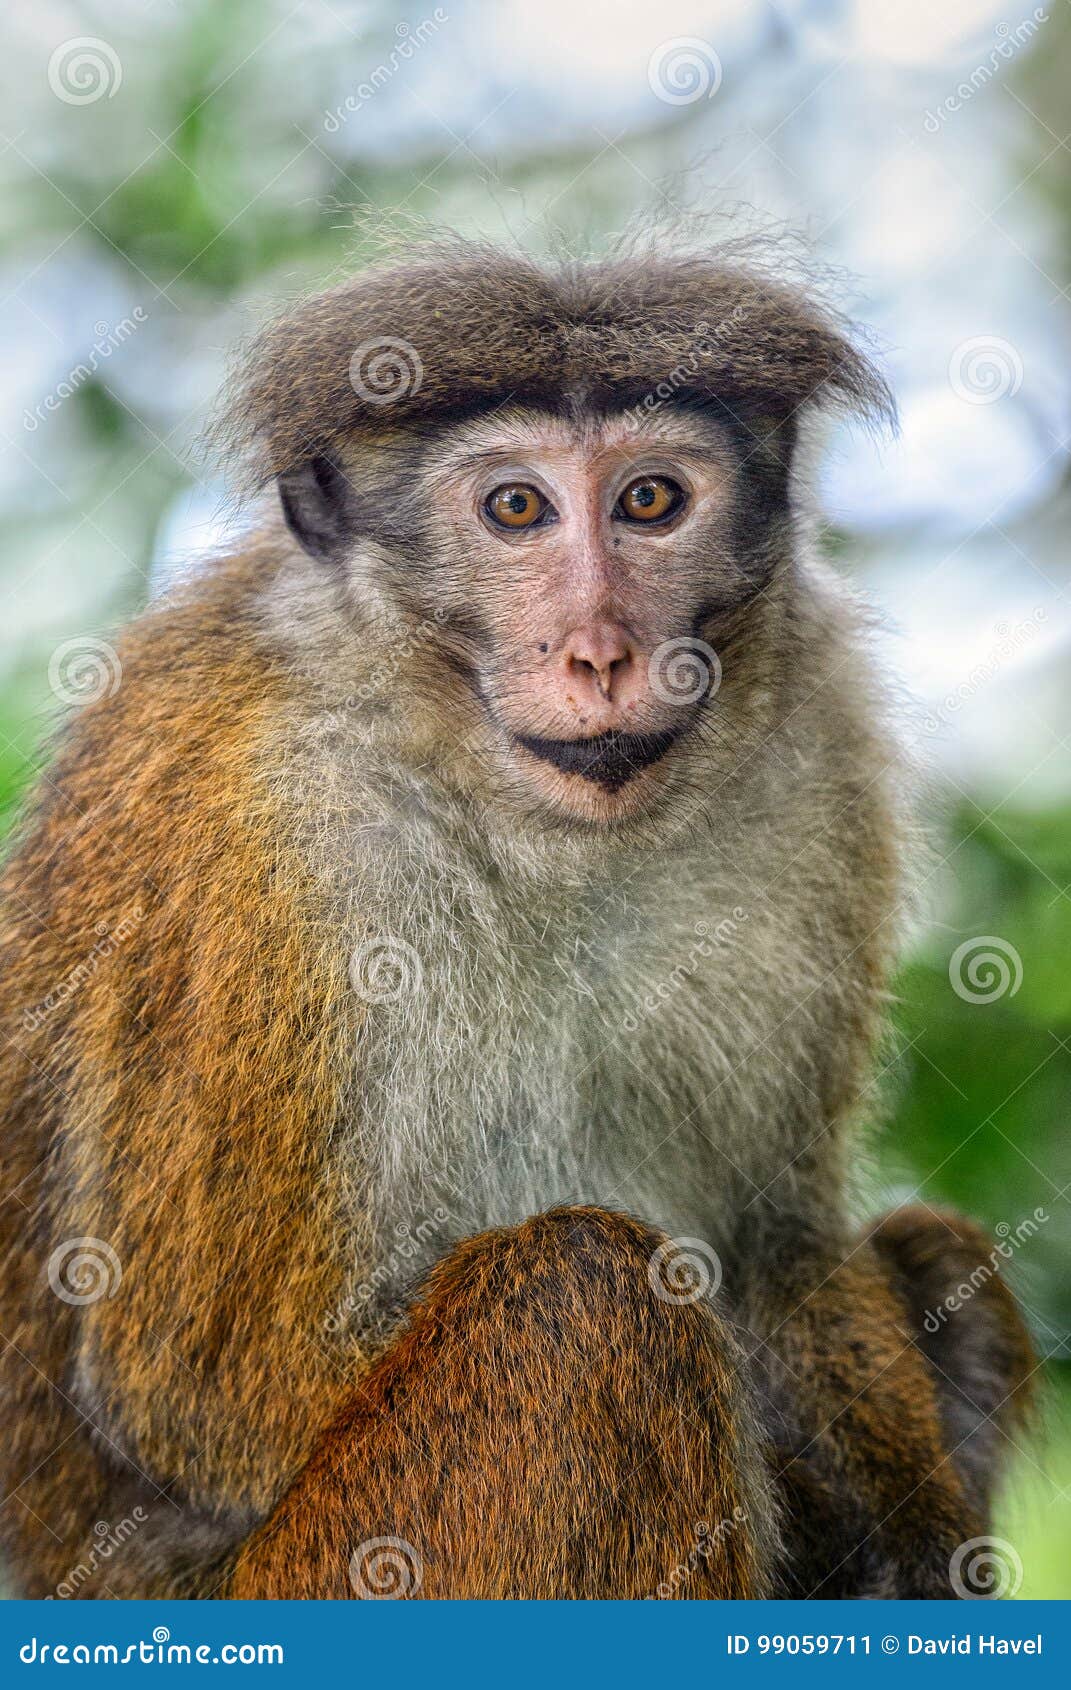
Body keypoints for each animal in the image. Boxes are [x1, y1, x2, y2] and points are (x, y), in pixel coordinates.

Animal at [0, 240, 1036, 1601]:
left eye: (650, 500)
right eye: (514, 512)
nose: (601, 651)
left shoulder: (819, 736)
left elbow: (778, 1240)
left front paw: (901, 1549)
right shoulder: (267, 837)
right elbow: (208, 1392)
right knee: (581, 1297)